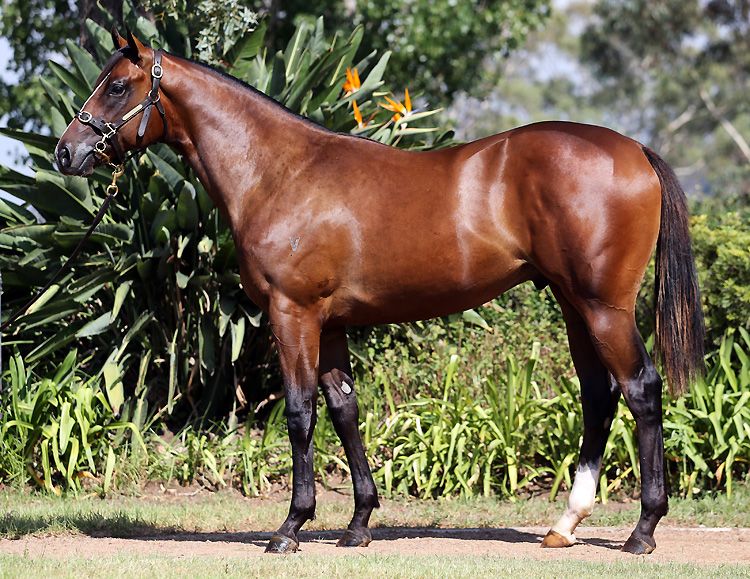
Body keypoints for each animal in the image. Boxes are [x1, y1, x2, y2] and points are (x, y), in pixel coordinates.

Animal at [55, 31, 705, 555]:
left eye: (117, 87)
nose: (66, 152)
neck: (279, 173)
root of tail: (634, 150)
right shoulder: (331, 325)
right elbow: (345, 409)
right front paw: (358, 524)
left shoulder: (293, 315)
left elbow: (300, 412)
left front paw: (290, 528)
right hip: (574, 307)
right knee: (599, 396)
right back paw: (565, 525)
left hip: (603, 308)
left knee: (641, 390)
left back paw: (642, 531)